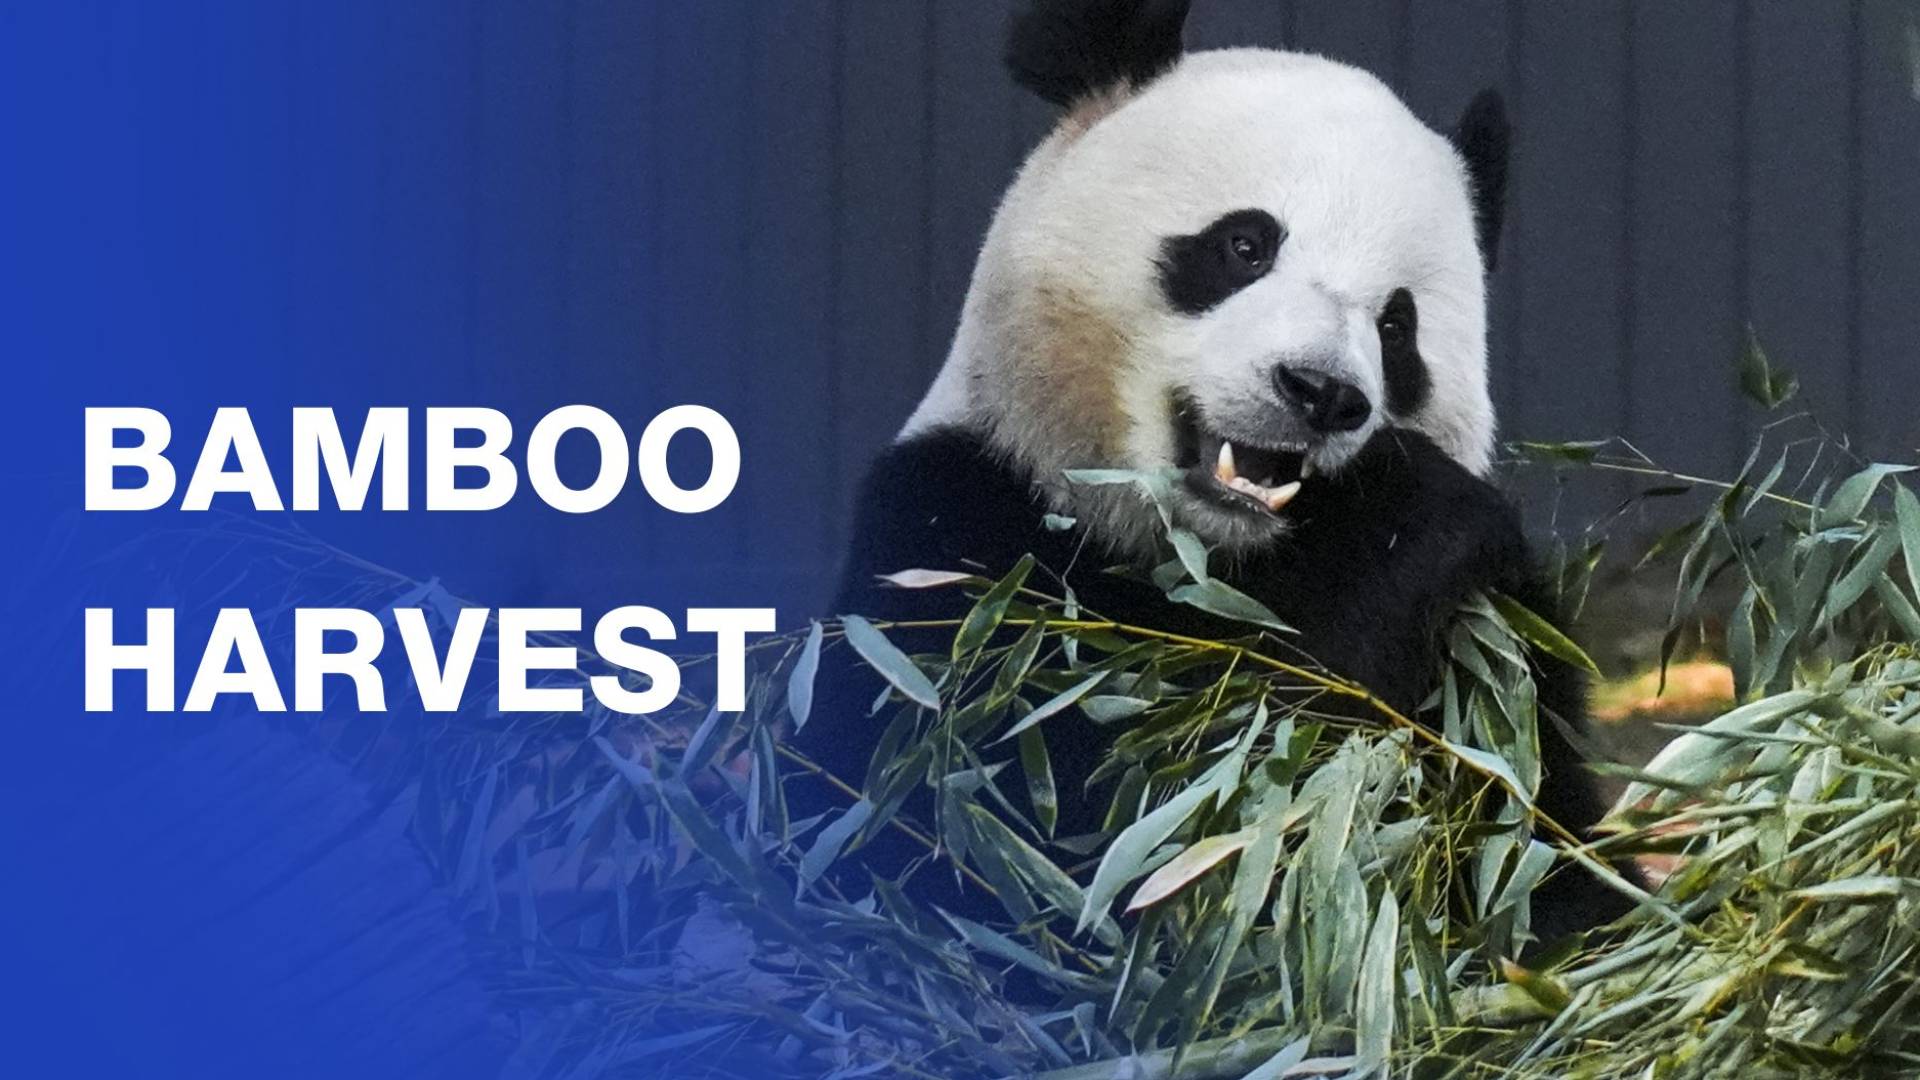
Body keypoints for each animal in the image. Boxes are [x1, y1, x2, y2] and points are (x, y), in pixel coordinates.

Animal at [799, 0, 1628, 938]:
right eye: (1244, 244)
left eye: (1397, 326)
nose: (1322, 392)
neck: (1211, 563)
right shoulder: (956, 558)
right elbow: (1077, 847)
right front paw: (1412, 515)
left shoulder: (1505, 667)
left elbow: (1543, 867)